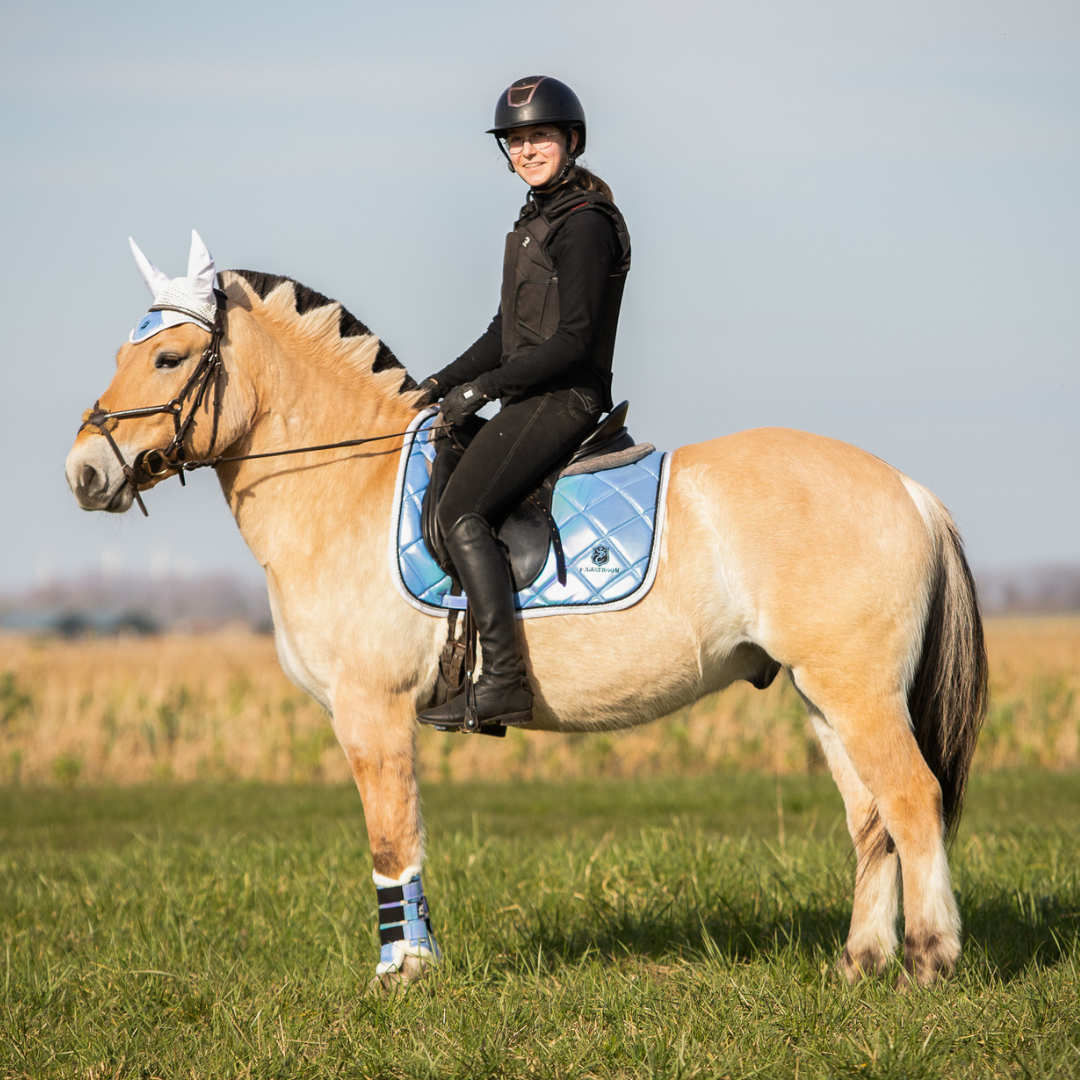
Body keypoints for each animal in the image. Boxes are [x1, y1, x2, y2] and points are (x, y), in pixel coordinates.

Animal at [66, 238, 988, 990]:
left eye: (170, 357)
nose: (84, 472)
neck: (347, 486)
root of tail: (906, 488)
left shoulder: (371, 710)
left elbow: (392, 839)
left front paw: (404, 974)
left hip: (859, 692)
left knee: (912, 800)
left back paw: (928, 962)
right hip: (823, 693)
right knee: (871, 818)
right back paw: (860, 963)